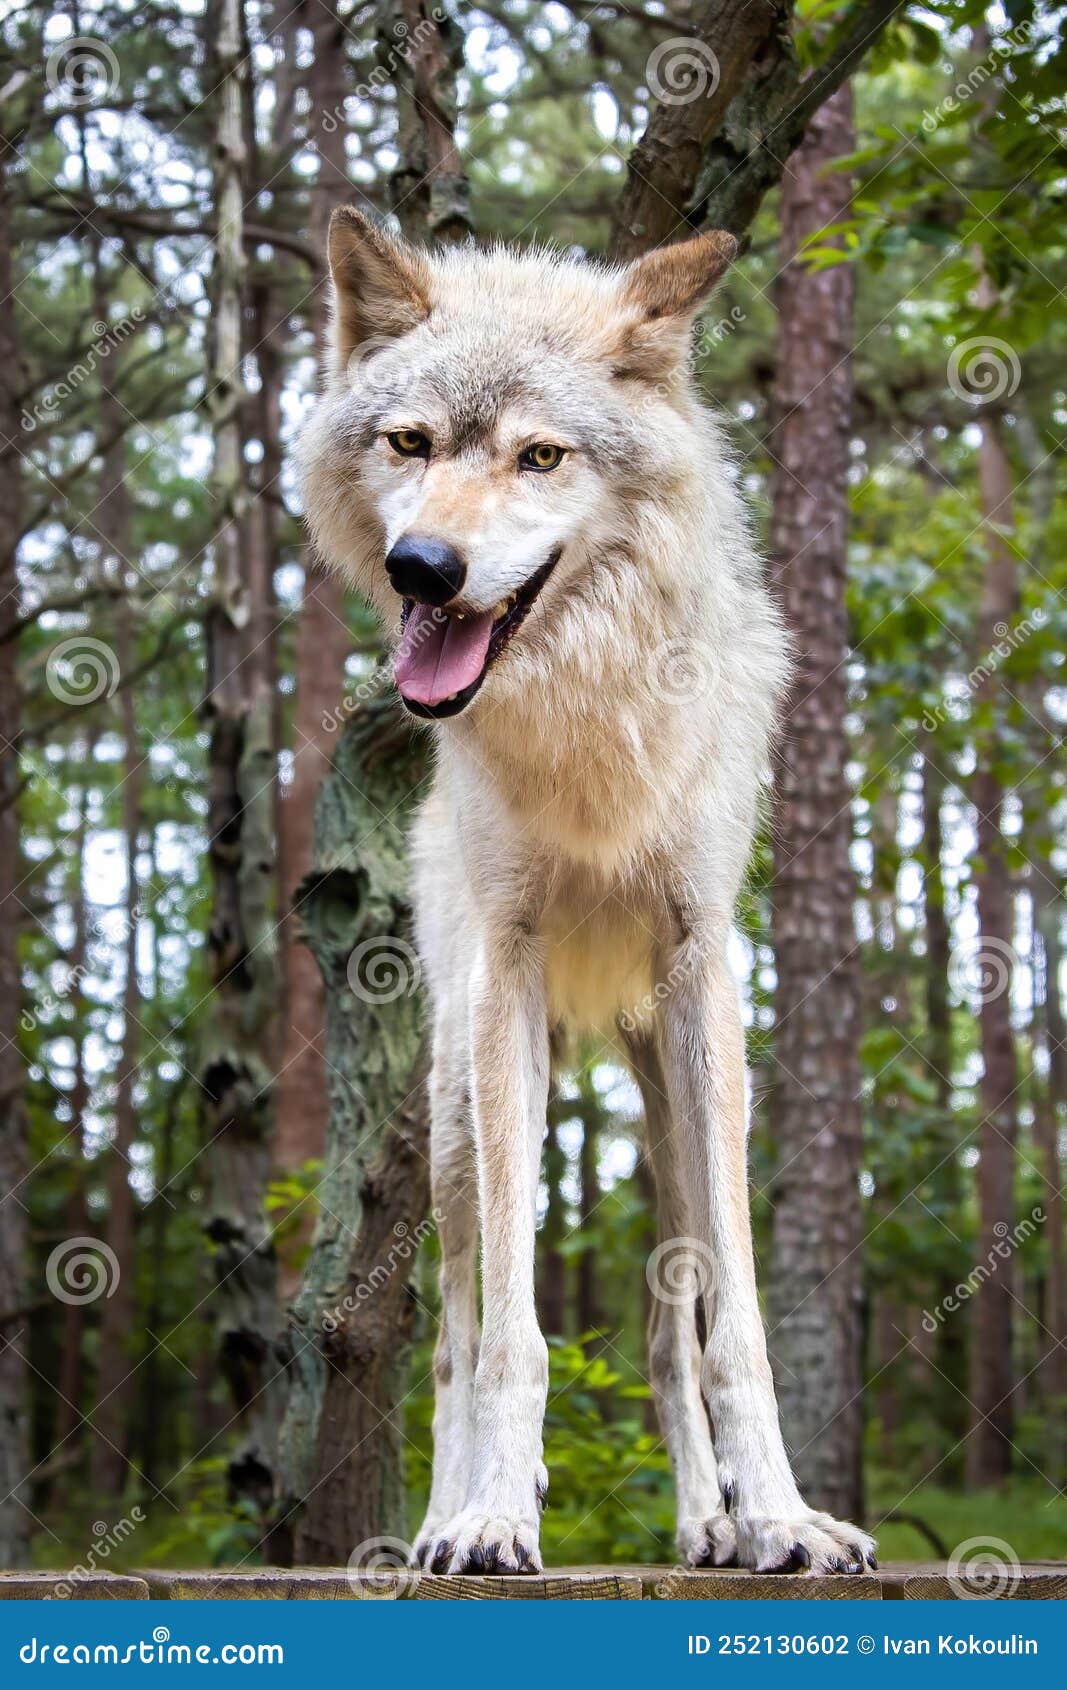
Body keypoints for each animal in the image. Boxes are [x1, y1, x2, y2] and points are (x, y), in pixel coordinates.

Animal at [301, 207, 877, 1577]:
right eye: (409, 442)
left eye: (540, 456)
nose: (421, 566)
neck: (585, 710)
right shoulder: (508, 981)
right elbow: (507, 1336)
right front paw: (494, 1518)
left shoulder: (703, 971)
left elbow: (735, 1333)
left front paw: (779, 1519)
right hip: (461, 1114)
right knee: (451, 1338)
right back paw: (445, 1516)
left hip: (663, 1114)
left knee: (672, 1331)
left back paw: (706, 1524)